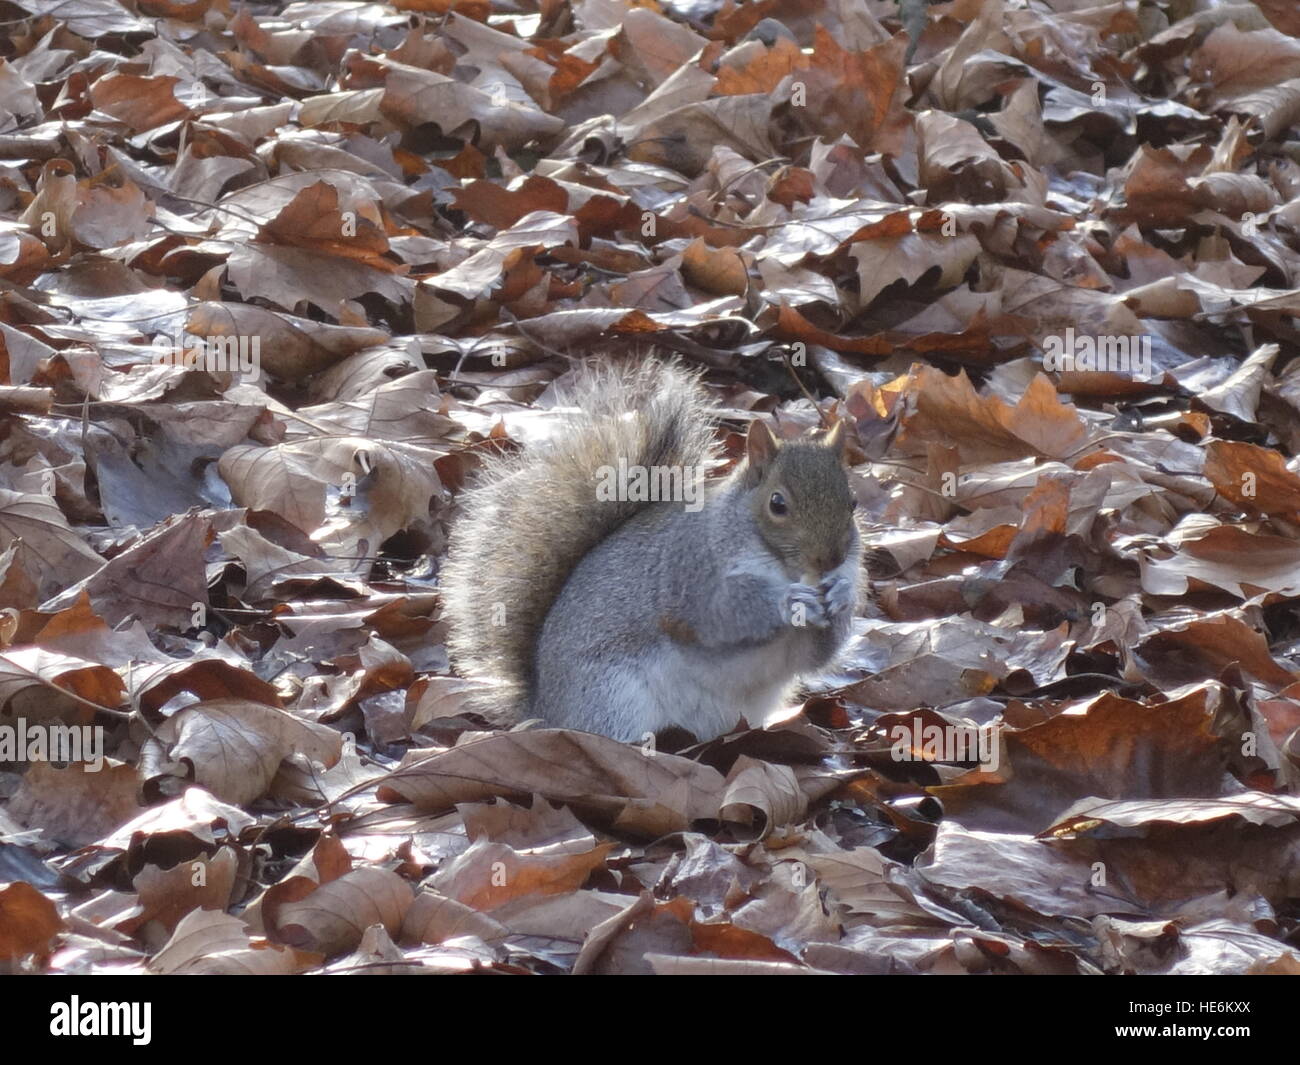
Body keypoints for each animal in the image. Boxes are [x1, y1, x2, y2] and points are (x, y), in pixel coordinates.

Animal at [439, 359, 862, 744]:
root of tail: (544, 710)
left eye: (853, 502)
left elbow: (817, 655)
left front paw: (842, 594)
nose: (830, 560)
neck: (781, 564)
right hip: (612, 698)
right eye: (777, 504)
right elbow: (722, 614)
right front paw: (790, 601)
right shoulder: (692, 572)